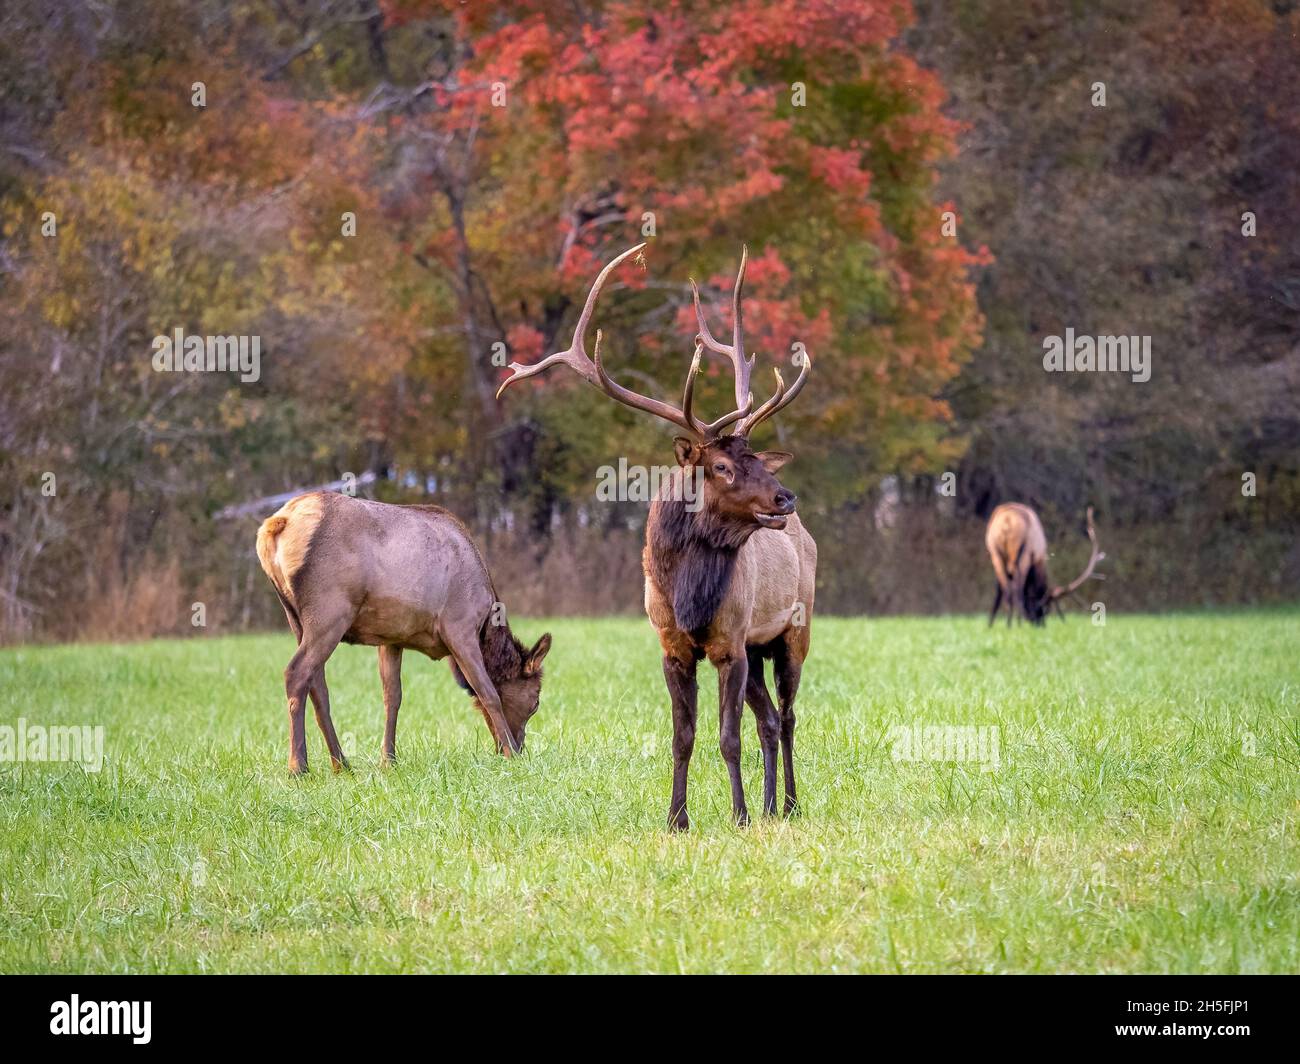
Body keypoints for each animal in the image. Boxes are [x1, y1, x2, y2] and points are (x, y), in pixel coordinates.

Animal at [255, 492, 551, 774]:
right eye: (536, 701)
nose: (520, 746)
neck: (486, 624)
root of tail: (277, 524)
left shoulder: (391, 639)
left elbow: (392, 698)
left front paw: (388, 760)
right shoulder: (460, 626)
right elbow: (488, 692)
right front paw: (510, 755)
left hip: (295, 618)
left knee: (317, 685)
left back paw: (341, 763)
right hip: (330, 611)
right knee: (296, 673)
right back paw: (298, 767)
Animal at [497, 243, 815, 830]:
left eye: (757, 458)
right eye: (721, 466)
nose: (786, 498)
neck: (689, 596)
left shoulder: (731, 642)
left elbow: (728, 737)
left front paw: (736, 816)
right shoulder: (674, 645)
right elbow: (683, 737)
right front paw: (678, 819)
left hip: (791, 631)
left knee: (788, 716)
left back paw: (788, 804)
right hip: (758, 647)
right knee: (770, 720)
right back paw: (770, 808)